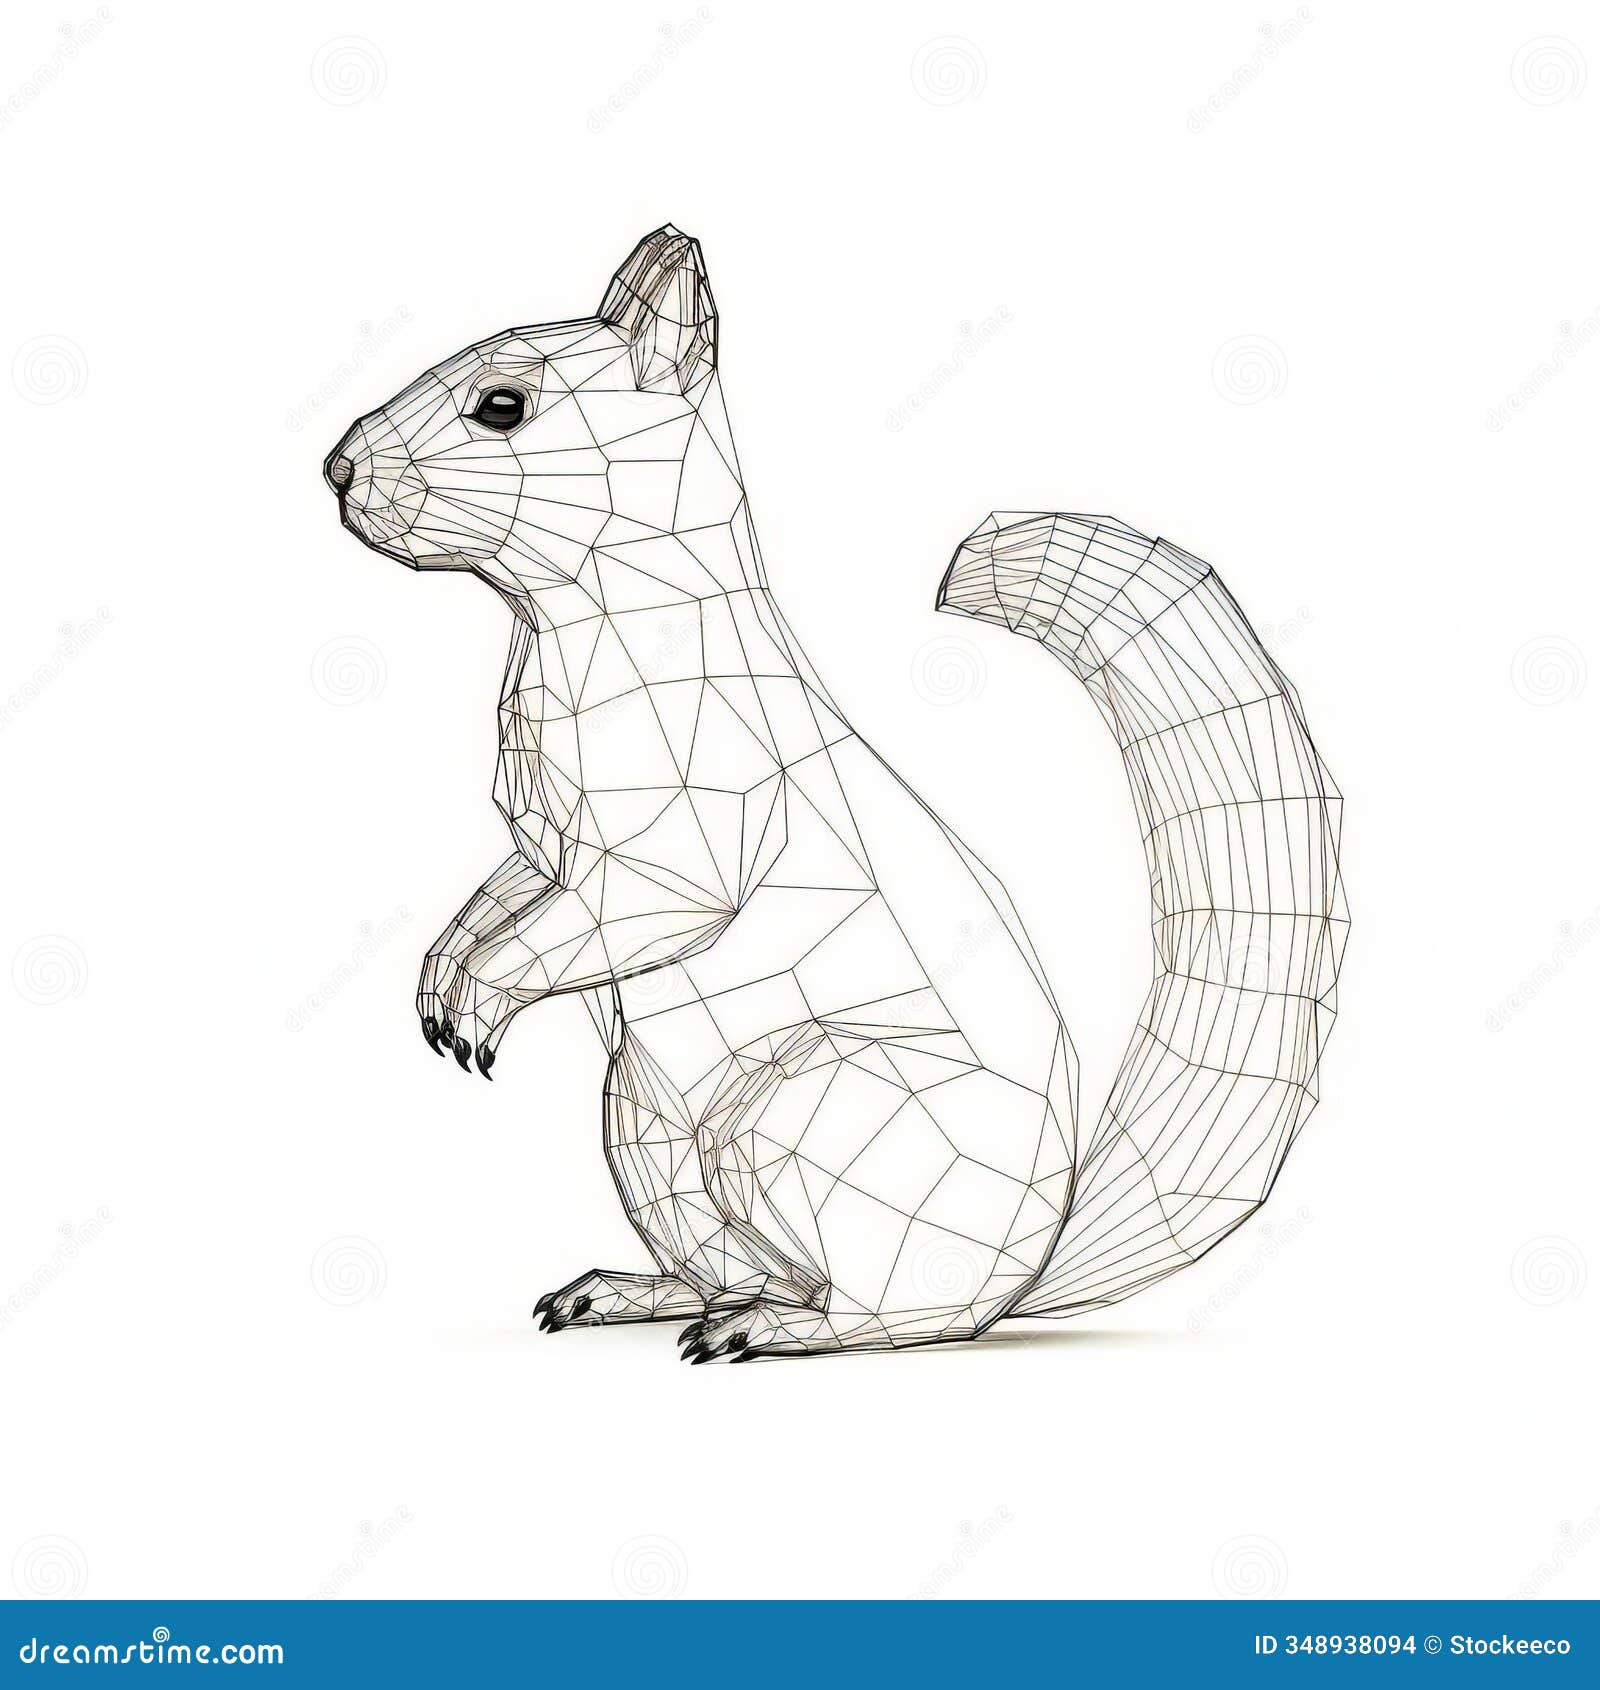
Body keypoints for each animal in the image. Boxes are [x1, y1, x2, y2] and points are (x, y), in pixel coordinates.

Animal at [323, 226, 1347, 1362]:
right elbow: (503, 895)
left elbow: (632, 907)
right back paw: (635, 1293)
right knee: (744, 1265)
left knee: (887, 1309)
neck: (578, 629)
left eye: (502, 406)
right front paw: (441, 981)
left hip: (806, 1110)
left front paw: (480, 1003)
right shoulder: (543, 839)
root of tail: (1024, 1272)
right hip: (646, 1133)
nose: (337, 469)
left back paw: (767, 1332)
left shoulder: (687, 830)